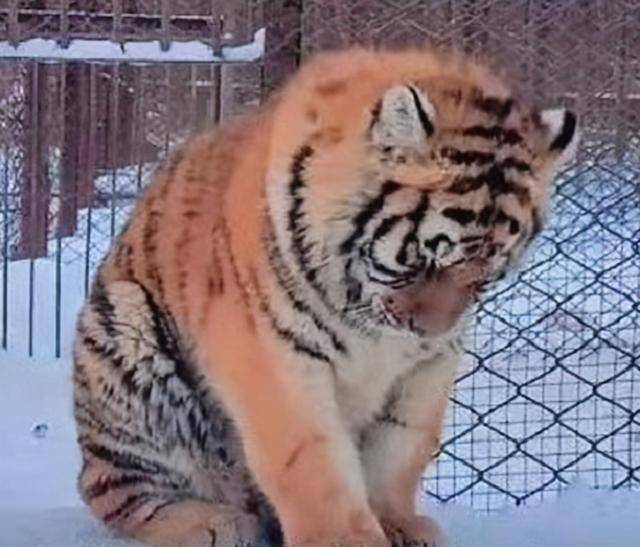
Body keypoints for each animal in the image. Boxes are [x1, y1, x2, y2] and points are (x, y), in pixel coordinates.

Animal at [73, 46, 578, 547]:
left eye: (484, 278)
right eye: (424, 261)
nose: (429, 329)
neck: (370, 317)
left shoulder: (426, 367)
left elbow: (402, 447)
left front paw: (398, 524)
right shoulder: (273, 352)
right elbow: (310, 460)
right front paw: (346, 539)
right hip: (125, 329)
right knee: (116, 490)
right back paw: (212, 523)